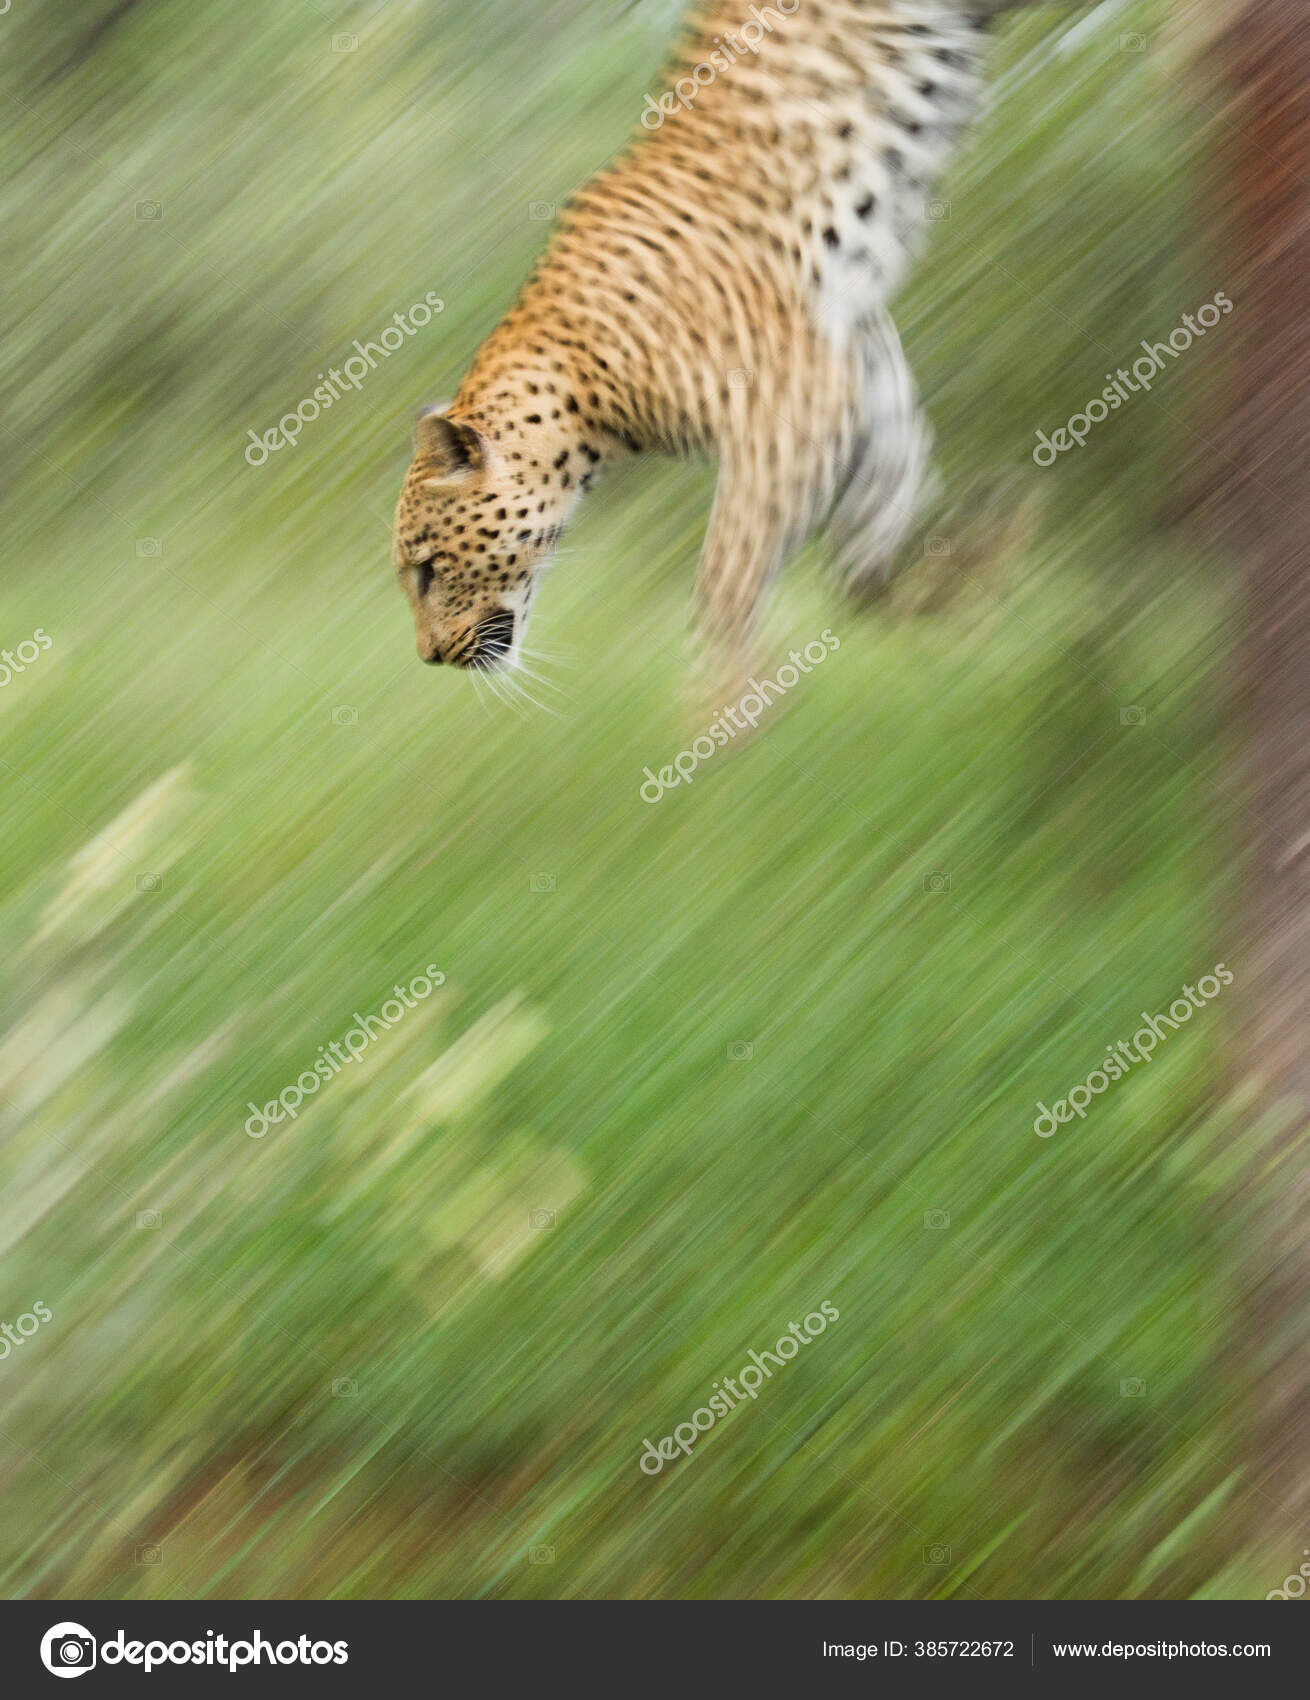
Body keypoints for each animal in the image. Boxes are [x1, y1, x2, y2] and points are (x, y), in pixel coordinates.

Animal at [391, 0, 1064, 672]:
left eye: (427, 569)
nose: (430, 656)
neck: (577, 390)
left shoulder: (784, 405)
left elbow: (726, 572)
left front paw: (736, 688)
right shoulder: (858, 366)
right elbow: (869, 540)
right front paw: (975, 566)